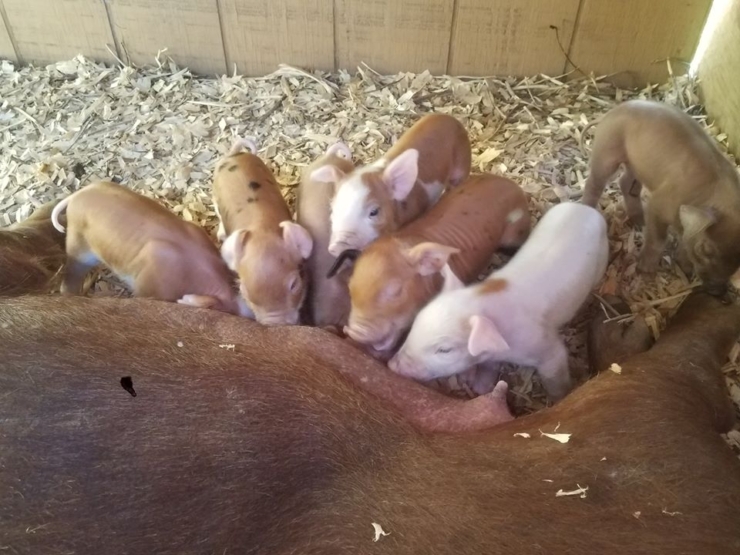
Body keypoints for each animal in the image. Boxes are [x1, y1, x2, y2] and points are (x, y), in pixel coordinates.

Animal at [389, 201, 609, 401]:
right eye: (414, 325)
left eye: (445, 349)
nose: (392, 364)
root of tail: (585, 207)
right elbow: (488, 366)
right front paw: (480, 388)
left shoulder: (546, 347)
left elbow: (555, 373)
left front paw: (560, 399)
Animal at [580, 99, 740, 296]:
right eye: (705, 250)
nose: (718, 291)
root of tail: (609, 113)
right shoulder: (659, 203)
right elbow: (657, 240)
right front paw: (646, 271)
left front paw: (684, 267)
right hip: (607, 149)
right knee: (595, 182)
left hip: (636, 164)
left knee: (625, 183)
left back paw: (639, 222)